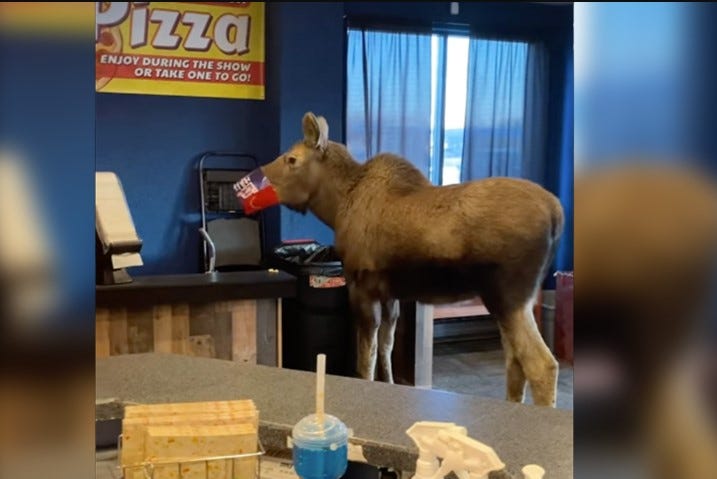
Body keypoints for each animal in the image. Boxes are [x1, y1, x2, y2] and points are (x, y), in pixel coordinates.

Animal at [261, 112, 564, 406]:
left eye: (292, 159)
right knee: (515, 362)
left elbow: (366, 361)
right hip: (509, 301)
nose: (260, 175)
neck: (335, 207)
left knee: (541, 364)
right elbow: (386, 348)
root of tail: (556, 215)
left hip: (508, 296)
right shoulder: (390, 295)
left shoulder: (362, 287)